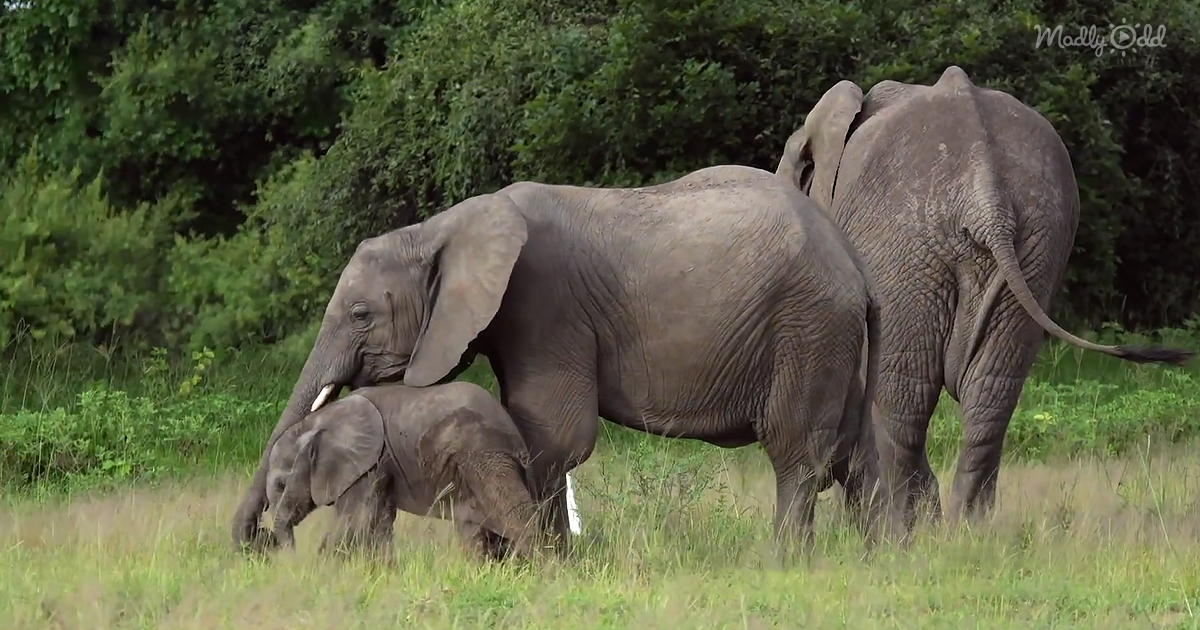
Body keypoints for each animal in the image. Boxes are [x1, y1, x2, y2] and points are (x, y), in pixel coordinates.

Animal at [263, 381, 547, 561]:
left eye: (280, 485)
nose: (292, 559)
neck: (314, 423)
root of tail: (515, 436)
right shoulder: (381, 465)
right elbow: (379, 521)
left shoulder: (369, 462)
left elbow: (356, 521)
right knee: (473, 529)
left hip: (486, 457)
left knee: (517, 518)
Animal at [775, 65, 1195, 529]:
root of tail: (986, 196)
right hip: (1035, 247)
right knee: (988, 396)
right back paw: (966, 532)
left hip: (902, 248)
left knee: (902, 399)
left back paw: (906, 532)